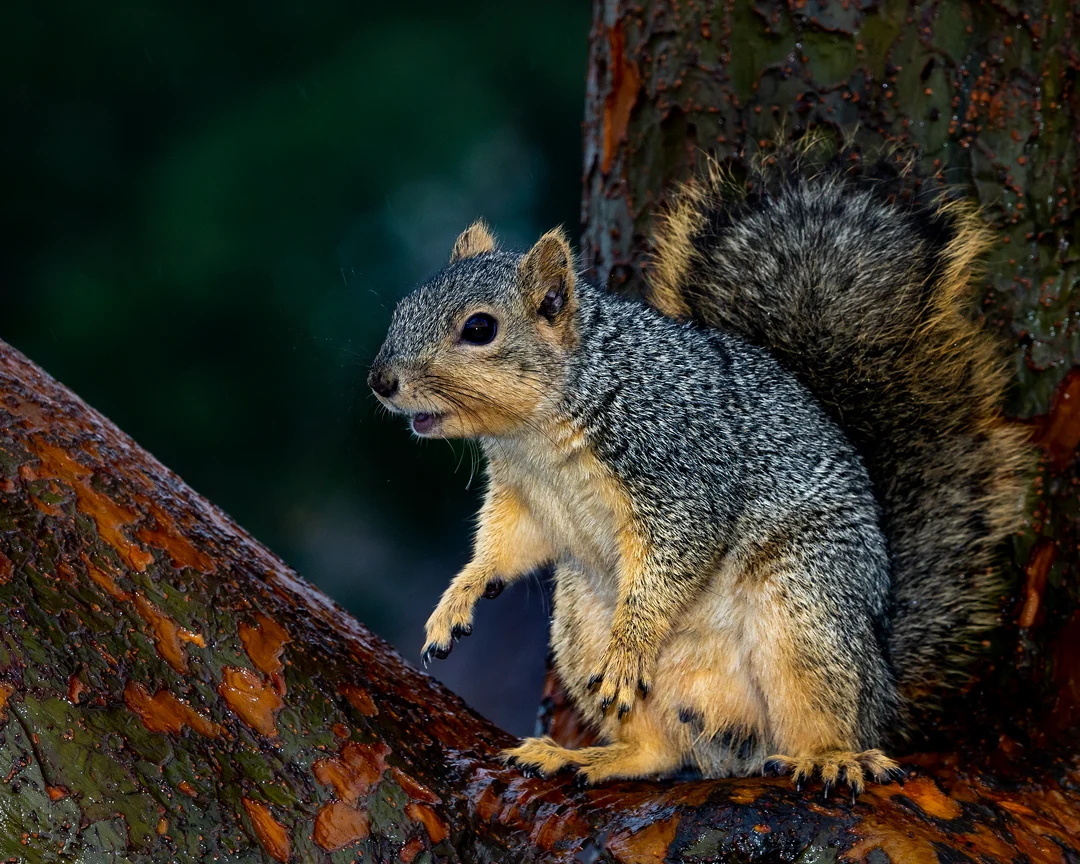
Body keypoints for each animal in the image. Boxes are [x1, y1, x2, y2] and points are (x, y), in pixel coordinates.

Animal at [367, 150, 1031, 793]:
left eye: (480, 328)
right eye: (401, 308)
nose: (380, 381)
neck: (534, 433)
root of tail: (883, 676)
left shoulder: (679, 466)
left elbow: (675, 556)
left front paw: (633, 641)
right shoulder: (524, 499)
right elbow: (506, 546)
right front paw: (460, 595)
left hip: (807, 612)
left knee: (825, 717)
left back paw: (832, 758)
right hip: (581, 625)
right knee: (660, 751)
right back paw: (589, 757)